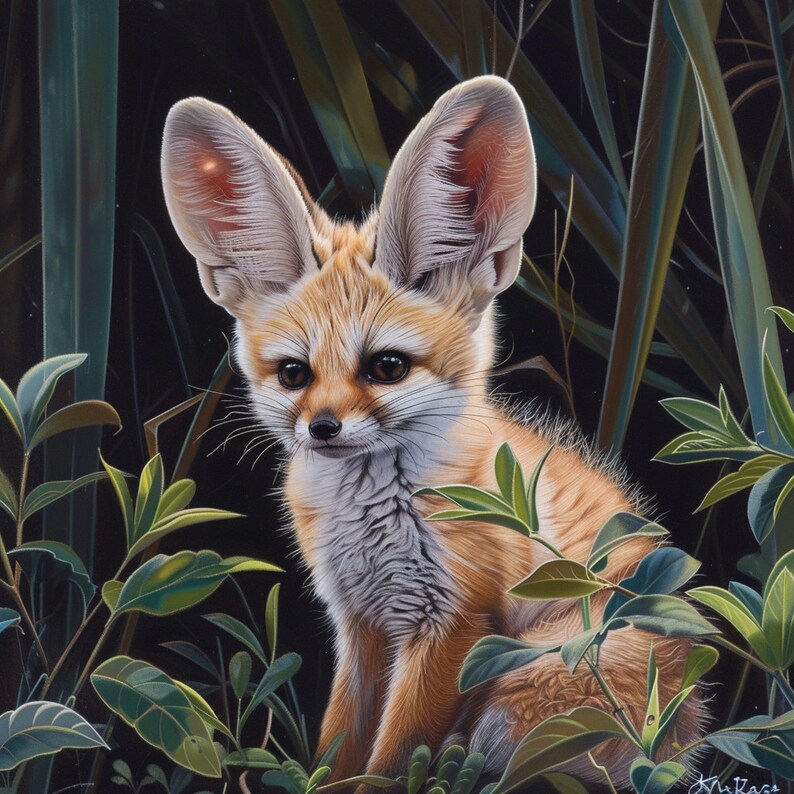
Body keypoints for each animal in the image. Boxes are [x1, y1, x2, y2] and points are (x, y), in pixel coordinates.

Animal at [161, 76, 705, 789]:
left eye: (387, 366)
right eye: (293, 373)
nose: (323, 428)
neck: (372, 521)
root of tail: (686, 736)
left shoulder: (453, 625)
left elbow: (391, 761)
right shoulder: (360, 626)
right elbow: (339, 746)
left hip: (526, 676)